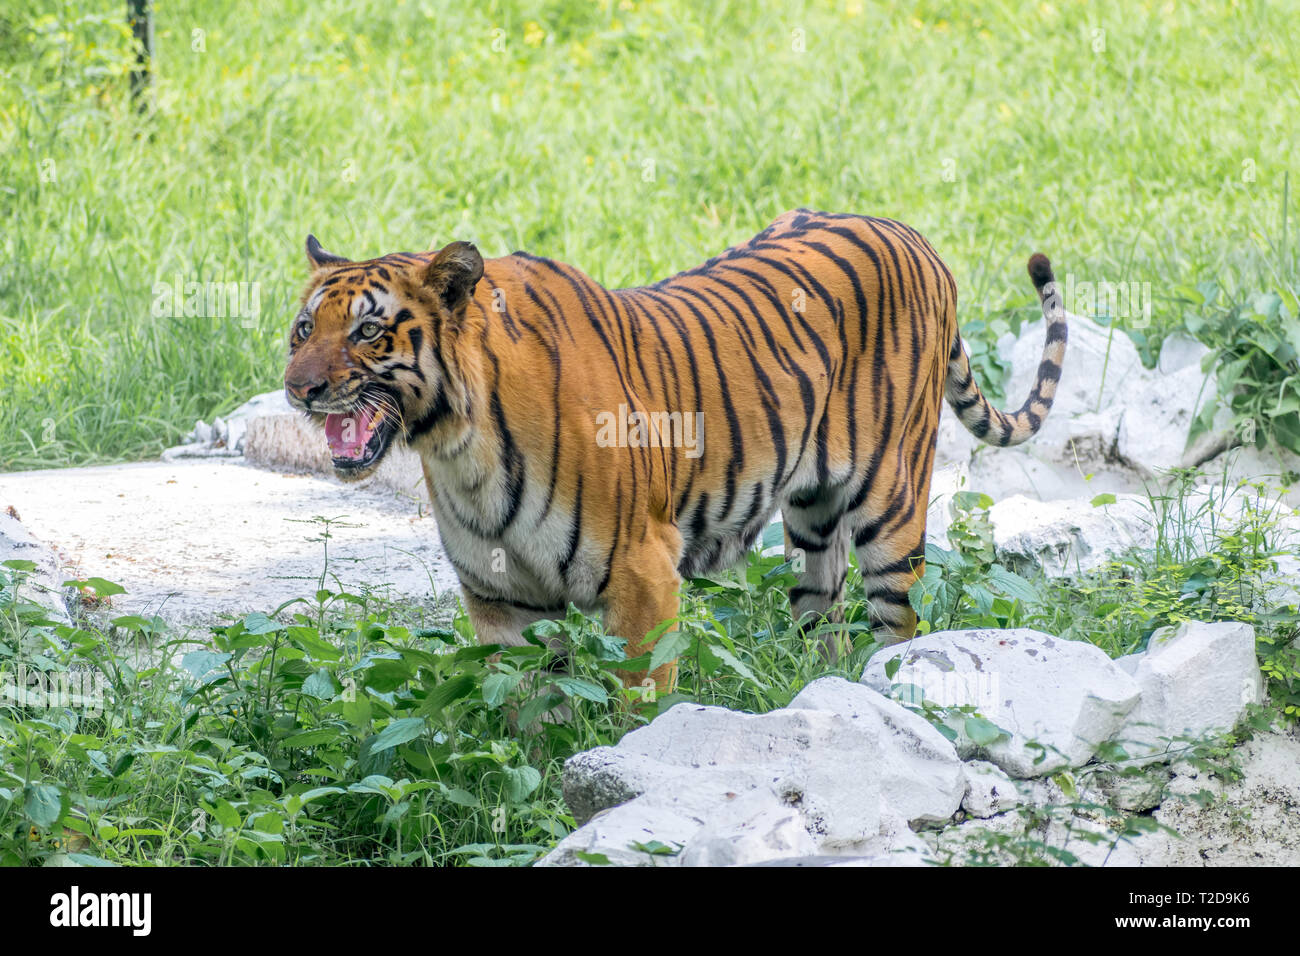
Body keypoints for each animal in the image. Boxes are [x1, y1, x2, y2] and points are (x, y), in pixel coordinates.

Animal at [283, 209, 1066, 694]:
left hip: (892, 503)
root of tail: (911, 233)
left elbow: (637, 702)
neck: (457, 445)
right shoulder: (502, 598)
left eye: (367, 332)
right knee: (824, 617)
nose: (297, 387)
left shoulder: (642, 574)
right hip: (813, 523)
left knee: (900, 628)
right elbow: (526, 718)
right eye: (303, 329)